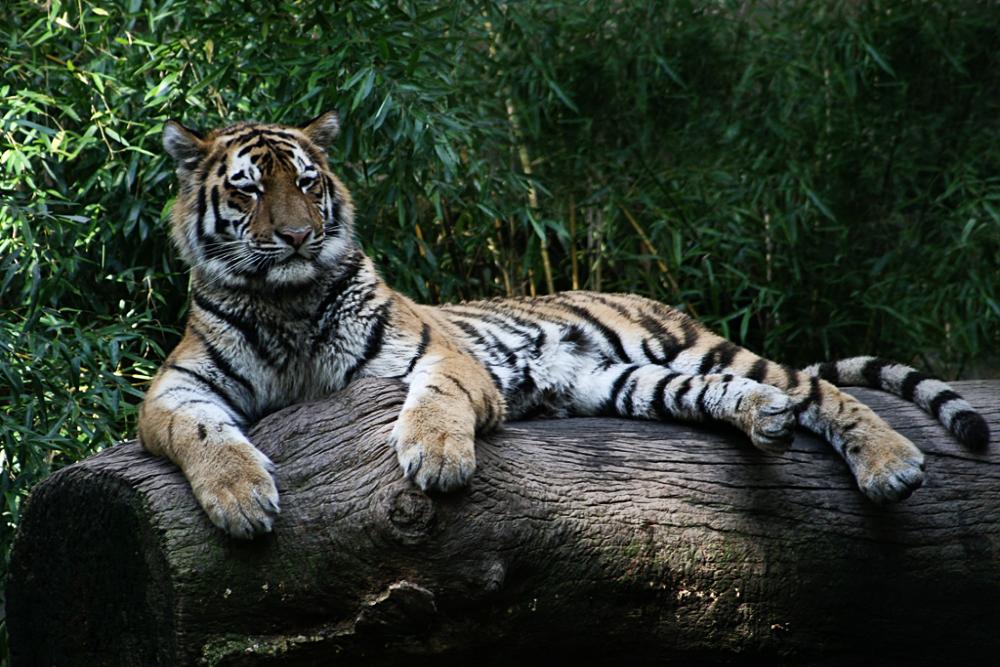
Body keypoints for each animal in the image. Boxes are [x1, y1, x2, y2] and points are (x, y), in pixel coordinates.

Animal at [139, 111, 991, 539]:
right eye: (249, 190)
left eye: (309, 183)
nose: (296, 237)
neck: (285, 301)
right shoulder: (171, 391)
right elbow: (202, 433)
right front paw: (241, 498)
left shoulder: (443, 354)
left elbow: (435, 396)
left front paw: (437, 457)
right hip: (626, 379)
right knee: (734, 395)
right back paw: (762, 419)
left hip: (686, 343)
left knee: (819, 390)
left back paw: (889, 461)